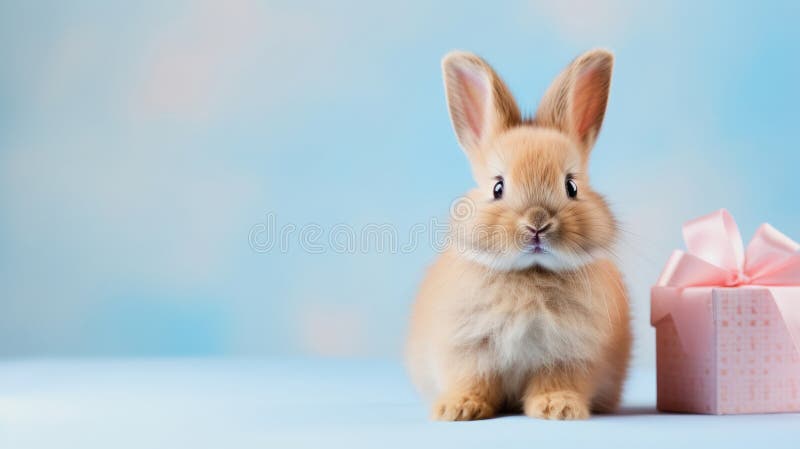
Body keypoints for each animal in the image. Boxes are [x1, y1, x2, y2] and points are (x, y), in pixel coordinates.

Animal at [405, 49, 631, 421]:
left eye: (571, 187)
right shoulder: (467, 348)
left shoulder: (567, 354)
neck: (530, 273)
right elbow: (472, 379)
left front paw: (558, 408)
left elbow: (555, 380)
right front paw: (458, 408)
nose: (537, 223)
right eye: (498, 187)